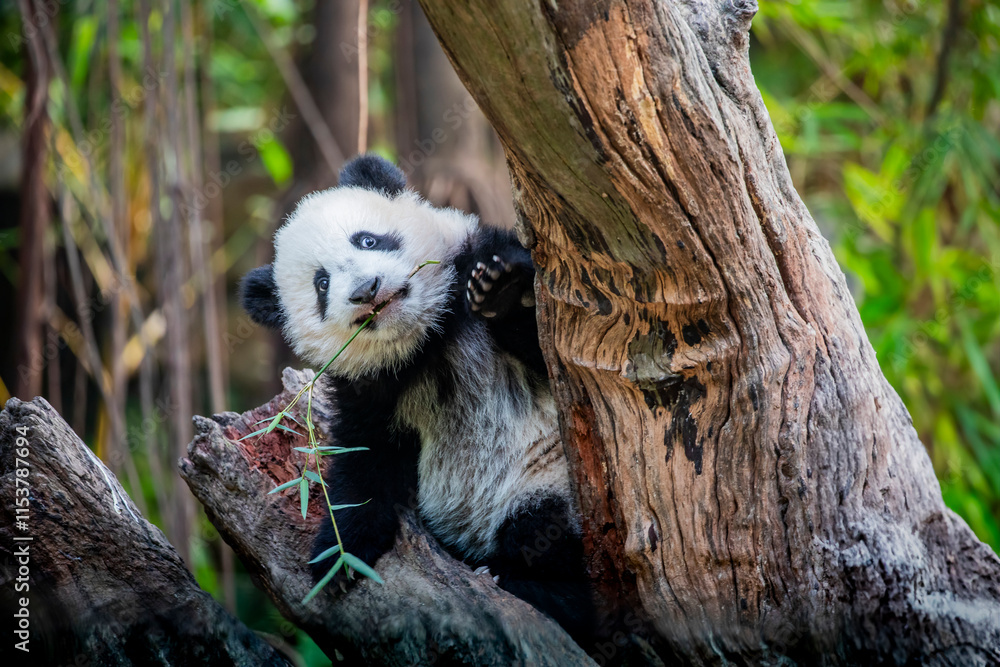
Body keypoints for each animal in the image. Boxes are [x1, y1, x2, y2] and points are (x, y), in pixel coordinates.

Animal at [240, 154, 593, 638]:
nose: (366, 289)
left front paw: (501, 293)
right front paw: (338, 559)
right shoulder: (369, 389)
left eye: (367, 239)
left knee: (544, 534)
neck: (426, 337)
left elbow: (557, 355)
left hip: (547, 479)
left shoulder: (478, 264)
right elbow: (364, 463)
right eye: (322, 284)